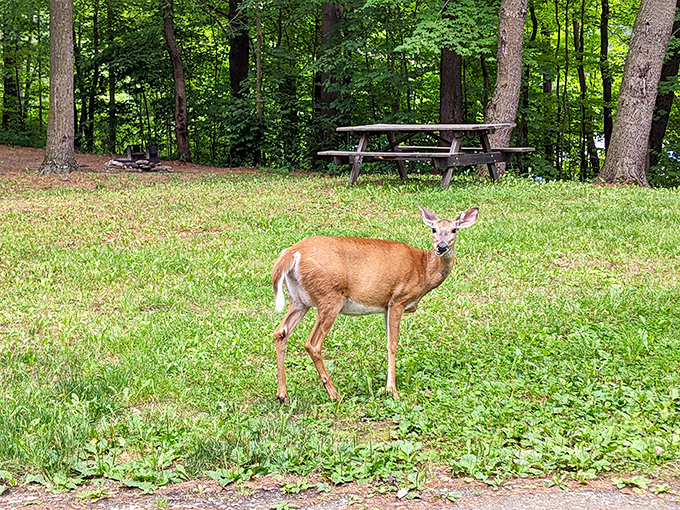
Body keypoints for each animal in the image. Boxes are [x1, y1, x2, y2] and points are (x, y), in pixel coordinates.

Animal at [271, 205, 479, 402]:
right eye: (433, 229)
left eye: (454, 230)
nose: (441, 247)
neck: (423, 268)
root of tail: (292, 253)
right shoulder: (398, 299)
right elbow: (393, 344)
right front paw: (392, 390)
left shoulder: (385, 306)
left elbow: (387, 343)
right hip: (329, 296)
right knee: (312, 344)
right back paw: (334, 393)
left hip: (299, 300)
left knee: (281, 332)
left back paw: (282, 395)